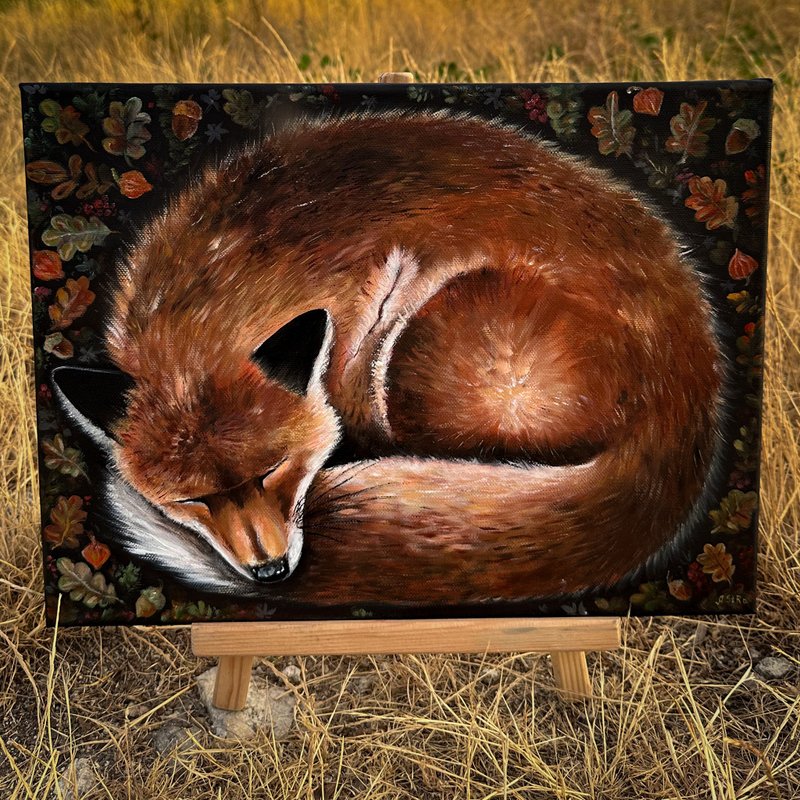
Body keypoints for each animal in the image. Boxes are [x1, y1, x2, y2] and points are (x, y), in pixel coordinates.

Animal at [52, 110, 724, 605]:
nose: (271, 573)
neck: (220, 295)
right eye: (190, 501)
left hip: (428, 354)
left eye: (274, 470)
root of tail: (694, 378)